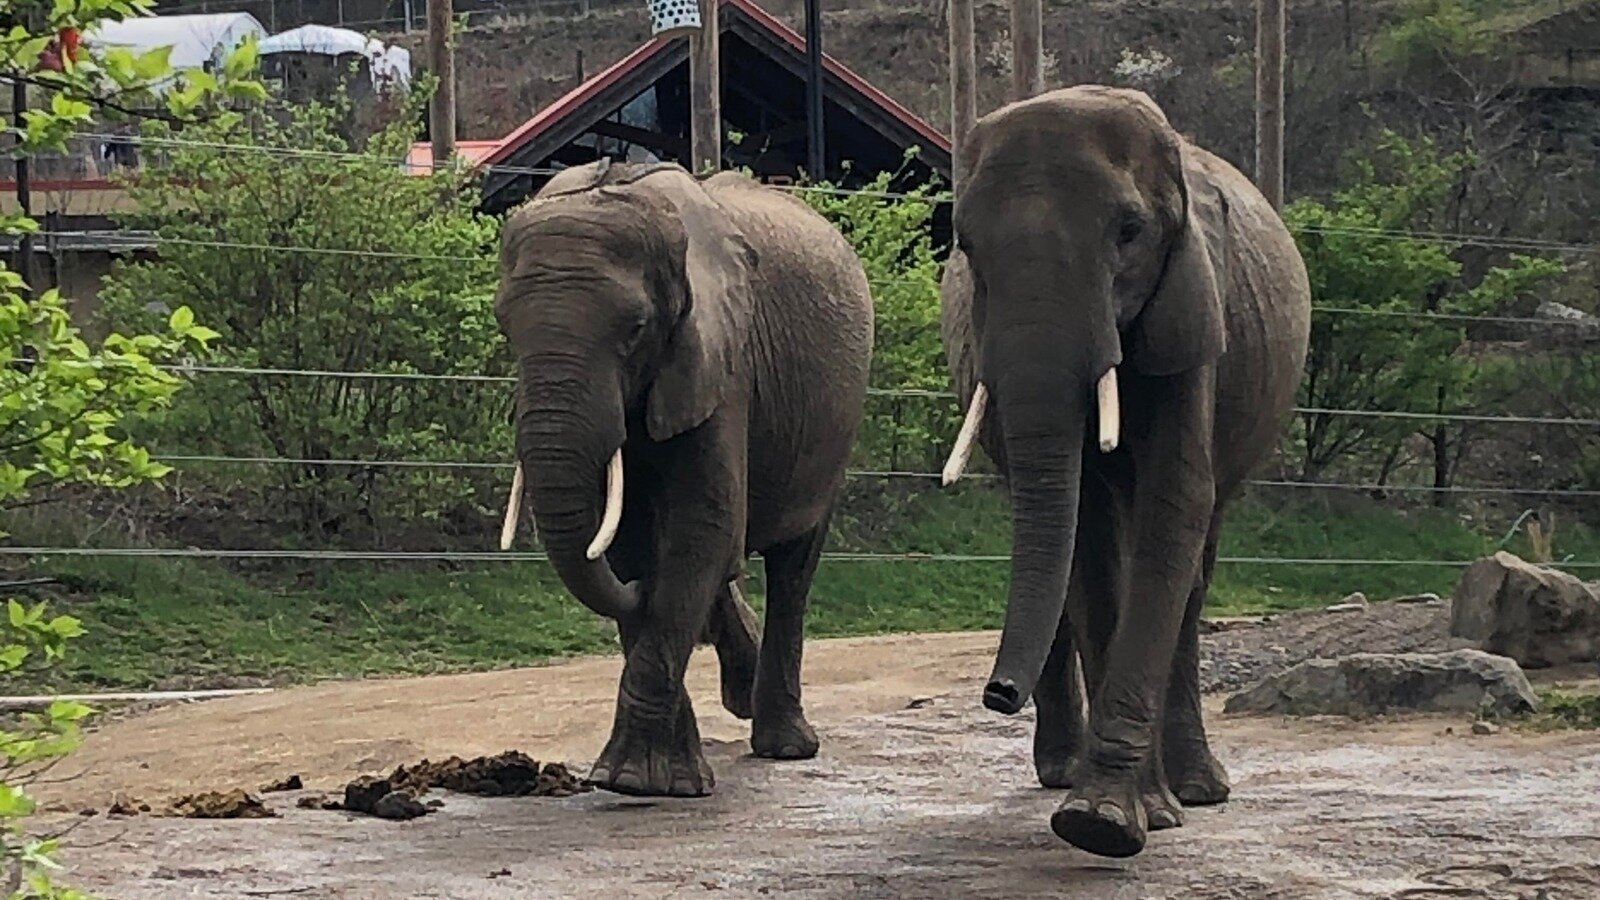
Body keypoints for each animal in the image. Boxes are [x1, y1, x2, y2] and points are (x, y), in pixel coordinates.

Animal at [494, 159, 874, 797]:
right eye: (505, 330)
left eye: (635, 330)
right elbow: (632, 545)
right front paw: (649, 779)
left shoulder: (720, 361)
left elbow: (702, 528)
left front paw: (631, 781)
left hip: (832, 429)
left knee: (793, 563)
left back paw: (786, 745)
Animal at [938, 86, 1312, 857]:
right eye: (967, 248)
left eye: (1130, 233)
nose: (995, 694)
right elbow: (1083, 528)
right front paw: (1117, 813)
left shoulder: (1194, 303)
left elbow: (1176, 500)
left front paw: (1105, 823)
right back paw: (1067, 771)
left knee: (1194, 565)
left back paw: (1197, 789)